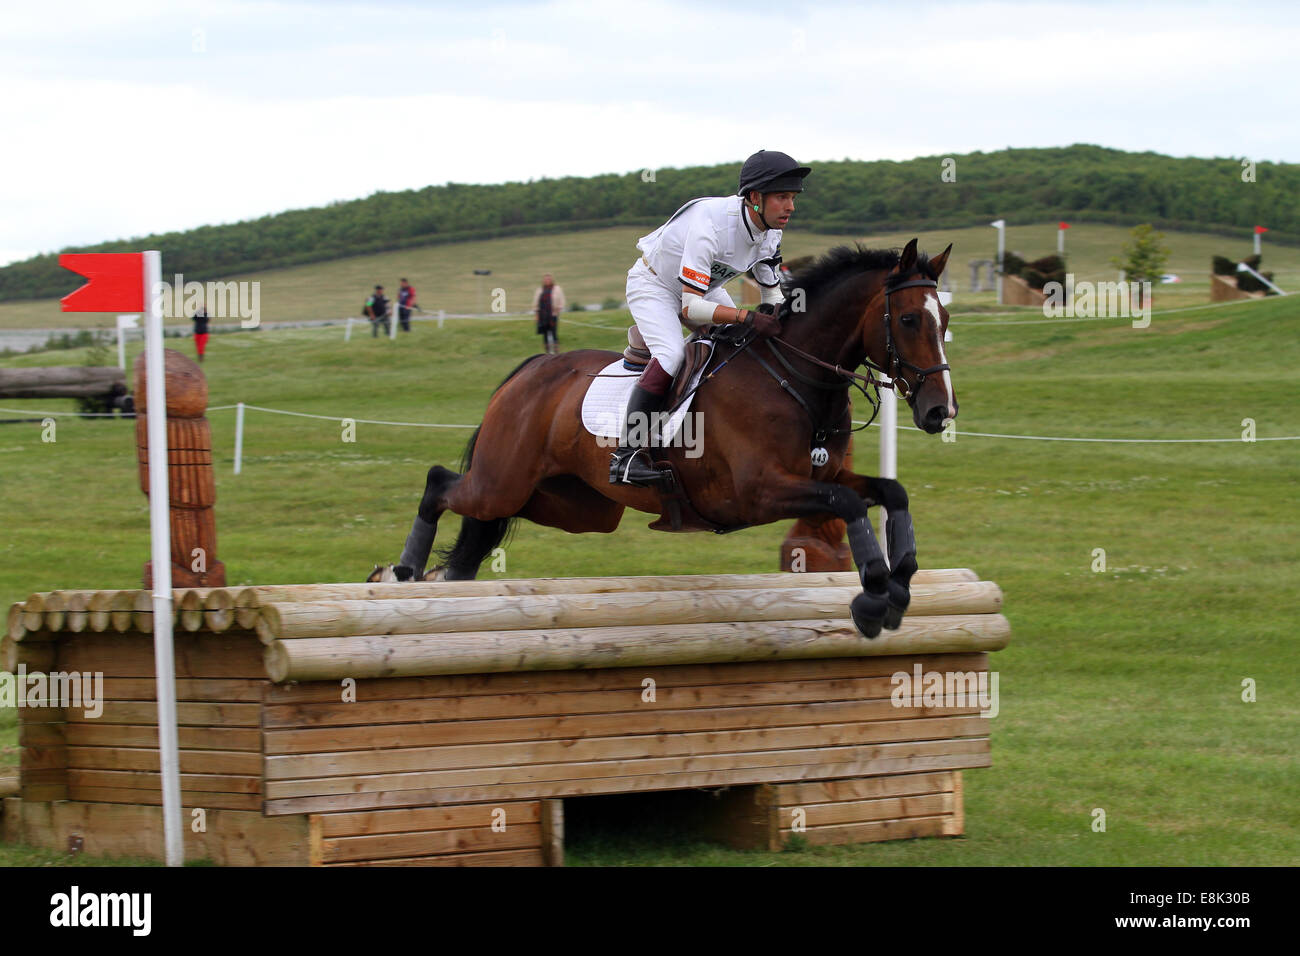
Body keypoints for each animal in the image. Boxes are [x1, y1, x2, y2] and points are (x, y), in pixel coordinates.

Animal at [382, 238, 956, 638]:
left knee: (478, 519)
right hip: (503, 482)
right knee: (440, 483)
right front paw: (872, 598)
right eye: (908, 319)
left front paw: (899, 587)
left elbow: (890, 493)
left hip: (573, 506)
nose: (940, 412)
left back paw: (439, 580)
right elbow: (849, 504)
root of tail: (531, 369)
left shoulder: (824, 474)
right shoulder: (759, 492)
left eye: (945, 317)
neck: (792, 374)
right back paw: (402, 572)